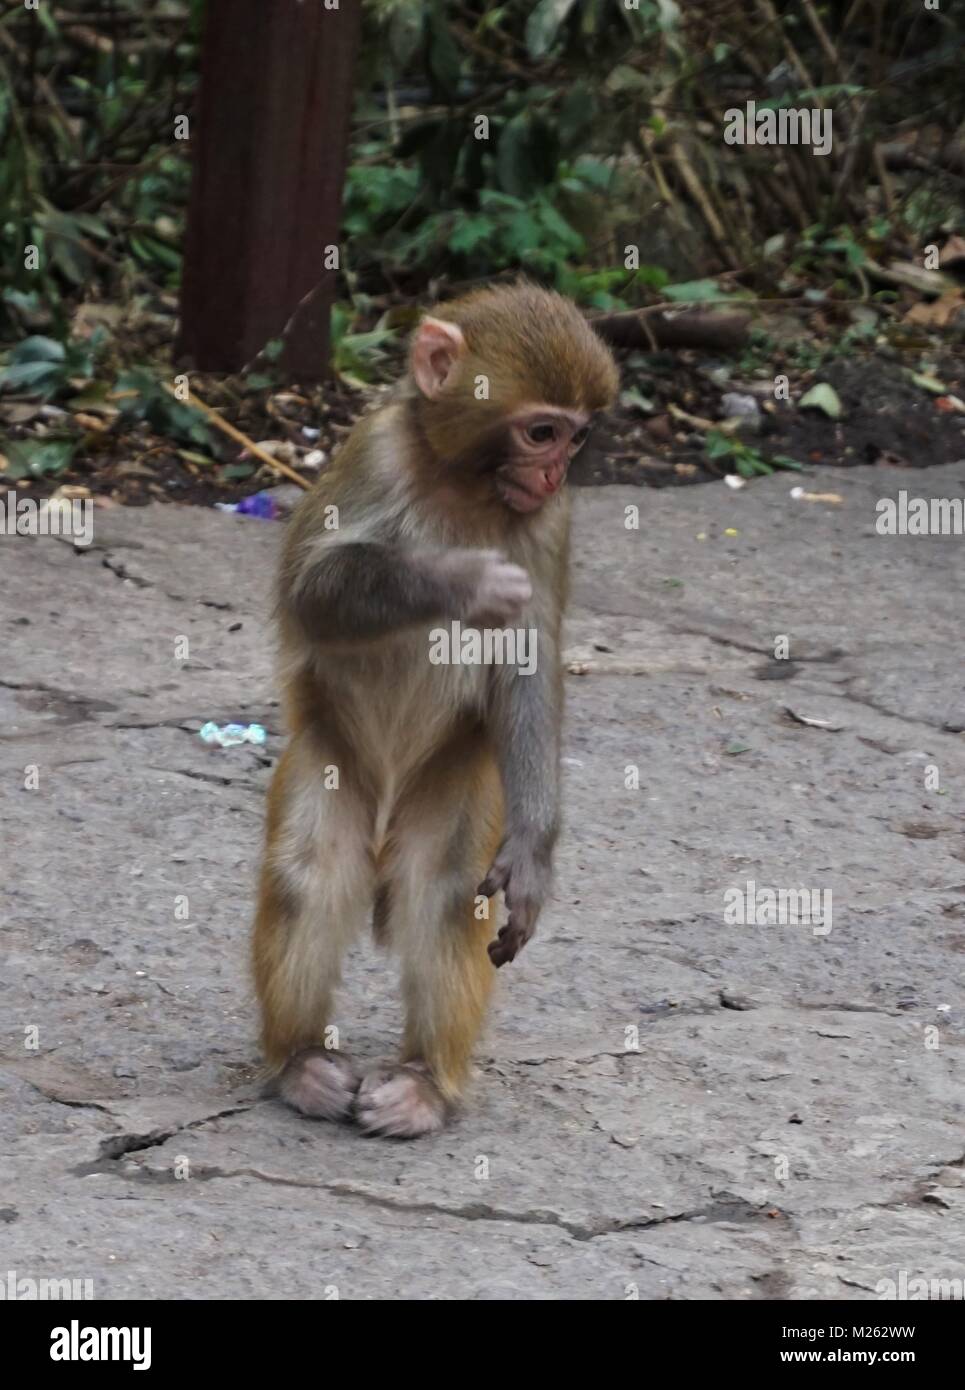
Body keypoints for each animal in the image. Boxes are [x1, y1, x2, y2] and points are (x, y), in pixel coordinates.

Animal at [252, 282, 619, 1137]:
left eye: (576, 438)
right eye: (540, 431)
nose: (553, 473)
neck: (460, 479)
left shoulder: (549, 522)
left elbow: (528, 664)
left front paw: (535, 854)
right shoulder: (376, 451)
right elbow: (311, 591)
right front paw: (458, 580)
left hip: (454, 780)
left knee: (444, 890)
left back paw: (425, 1084)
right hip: (327, 757)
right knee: (308, 874)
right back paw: (299, 1065)